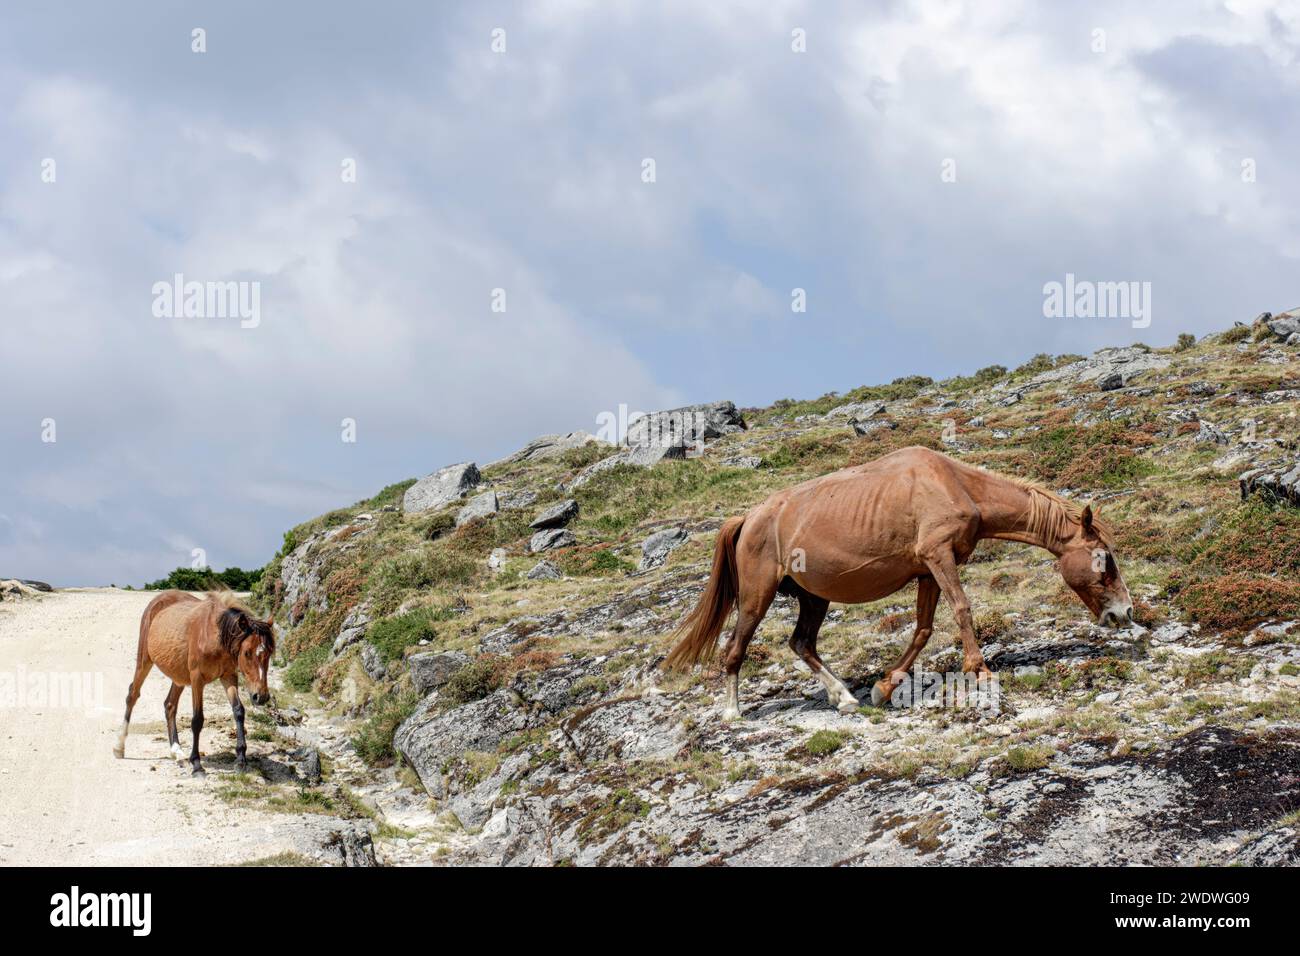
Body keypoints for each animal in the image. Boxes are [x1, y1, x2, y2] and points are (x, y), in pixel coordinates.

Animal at [113, 591, 275, 776]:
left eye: (270, 652)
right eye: (247, 652)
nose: (261, 696)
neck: (214, 635)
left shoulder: (228, 676)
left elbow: (239, 711)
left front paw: (241, 760)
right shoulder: (197, 679)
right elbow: (197, 720)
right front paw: (197, 765)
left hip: (179, 675)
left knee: (169, 705)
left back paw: (177, 752)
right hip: (144, 661)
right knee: (133, 695)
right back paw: (119, 746)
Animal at [664, 445, 1133, 720]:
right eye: (1104, 558)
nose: (1125, 612)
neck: (954, 483)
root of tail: (749, 518)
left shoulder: (928, 570)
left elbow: (923, 629)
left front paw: (884, 687)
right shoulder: (938, 557)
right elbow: (962, 609)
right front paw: (979, 670)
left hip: (814, 598)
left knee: (802, 644)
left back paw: (844, 696)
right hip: (756, 596)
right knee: (735, 649)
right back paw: (732, 712)